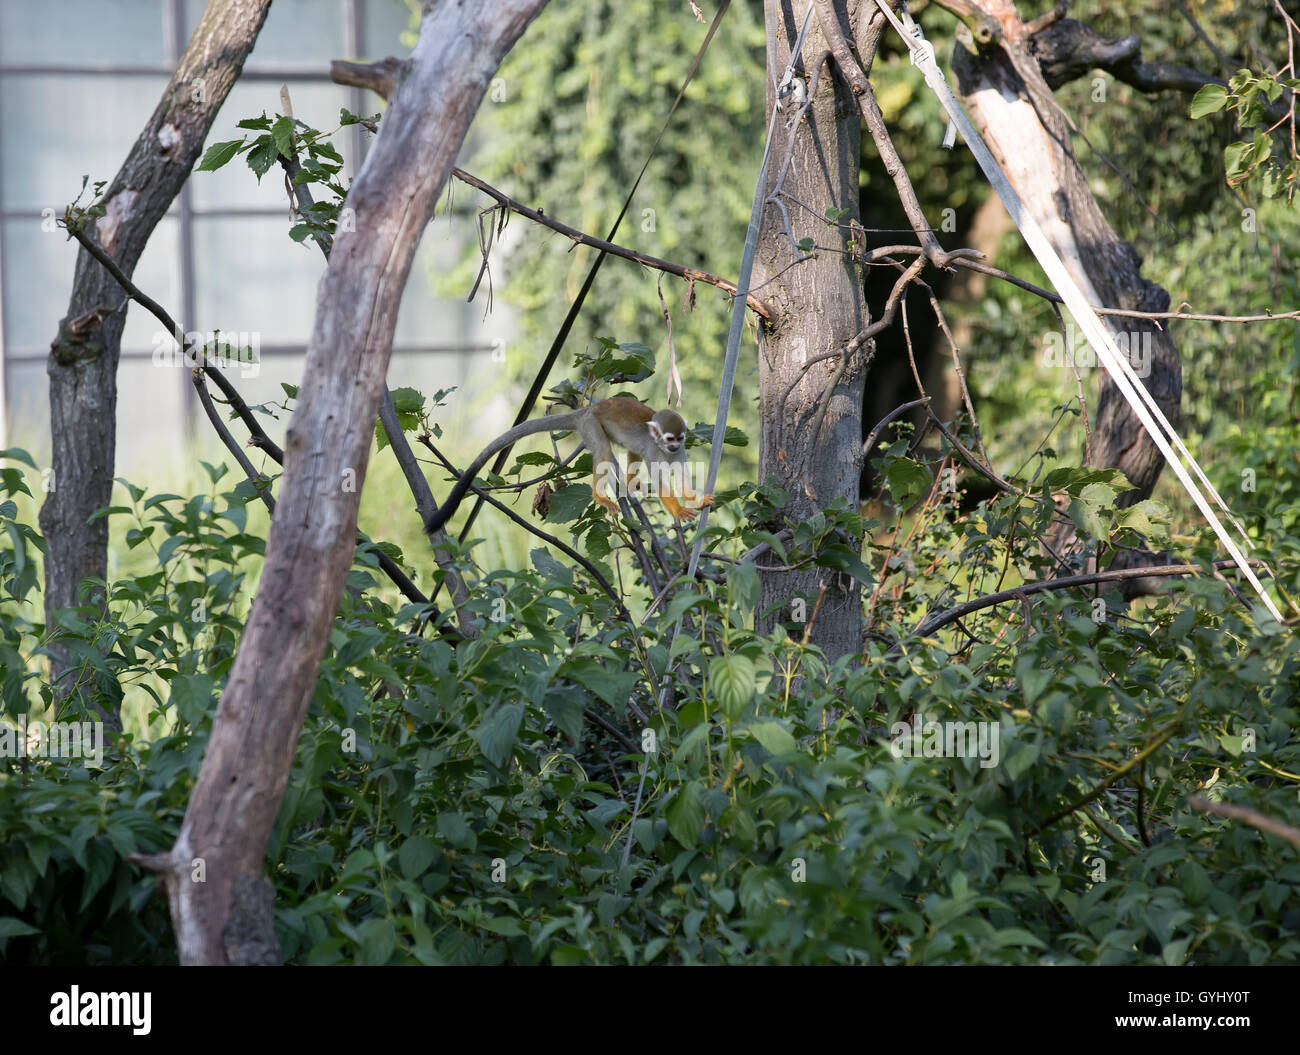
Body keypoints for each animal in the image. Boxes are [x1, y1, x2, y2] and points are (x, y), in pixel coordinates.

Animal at [424, 396, 713, 534]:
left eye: (680, 438)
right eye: (669, 438)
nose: (674, 446)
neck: (663, 448)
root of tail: (586, 410)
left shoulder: (678, 452)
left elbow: (681, 475)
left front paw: (695, 500)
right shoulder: (655, 449)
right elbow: (662, 479)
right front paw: (679, 510)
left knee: (631, 450)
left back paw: (629, 484)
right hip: (590, 426)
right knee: (603, 449)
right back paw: (599, 495)